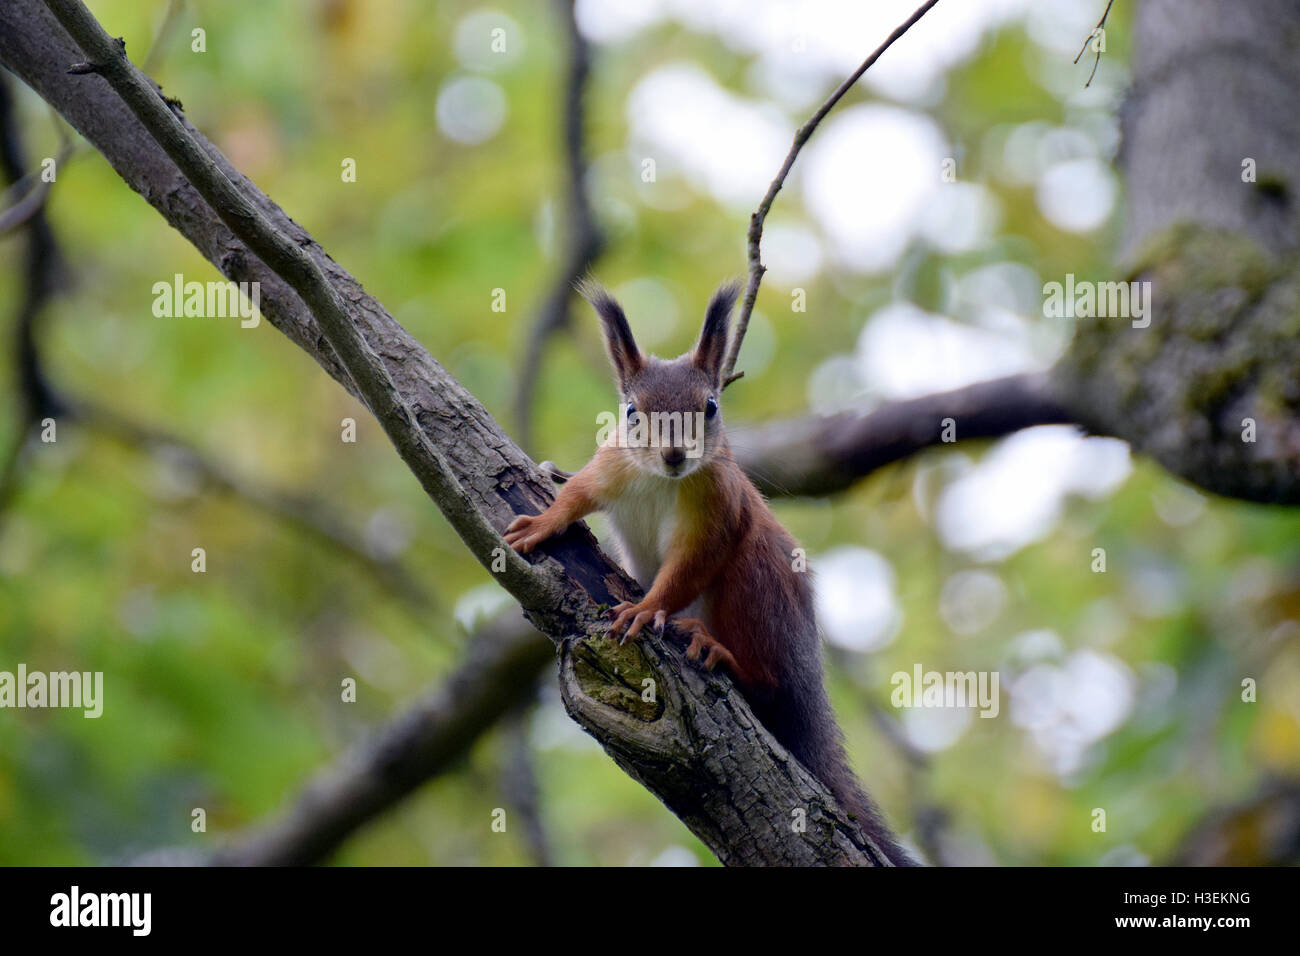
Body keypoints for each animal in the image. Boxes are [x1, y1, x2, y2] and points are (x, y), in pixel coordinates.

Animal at [505, 280, 913, 866]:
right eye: (632, 411)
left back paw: (718, 652)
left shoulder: (720, 510)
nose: (676, 455)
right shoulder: (609, 466)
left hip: (755, 589)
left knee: (766, 682)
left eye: (712, 406)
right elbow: (576, 495)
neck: (661, 481)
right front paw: (541, 523)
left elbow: (689, 569)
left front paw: (645, 608)